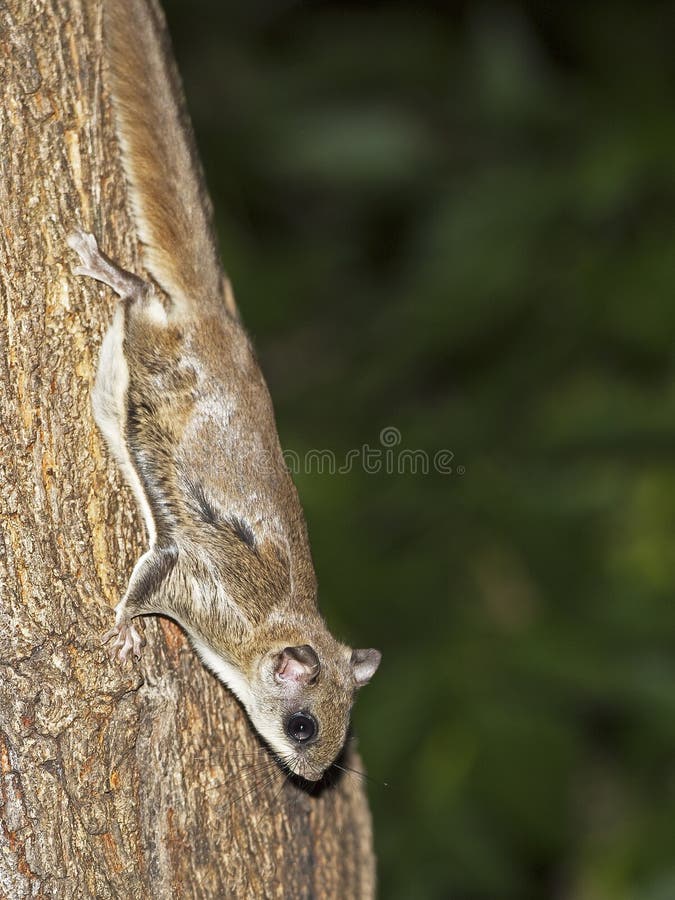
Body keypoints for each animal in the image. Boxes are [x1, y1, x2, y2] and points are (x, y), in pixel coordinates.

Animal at [67, 0, 380, 782]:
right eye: (302, 726)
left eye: (335, 739)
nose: (310, 780)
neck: (275, 624)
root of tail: (215, 316)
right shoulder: (192, 584)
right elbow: (146, 584)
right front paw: (122, 632)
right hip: (155, 345)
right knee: (140, 294)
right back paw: (106, 268)